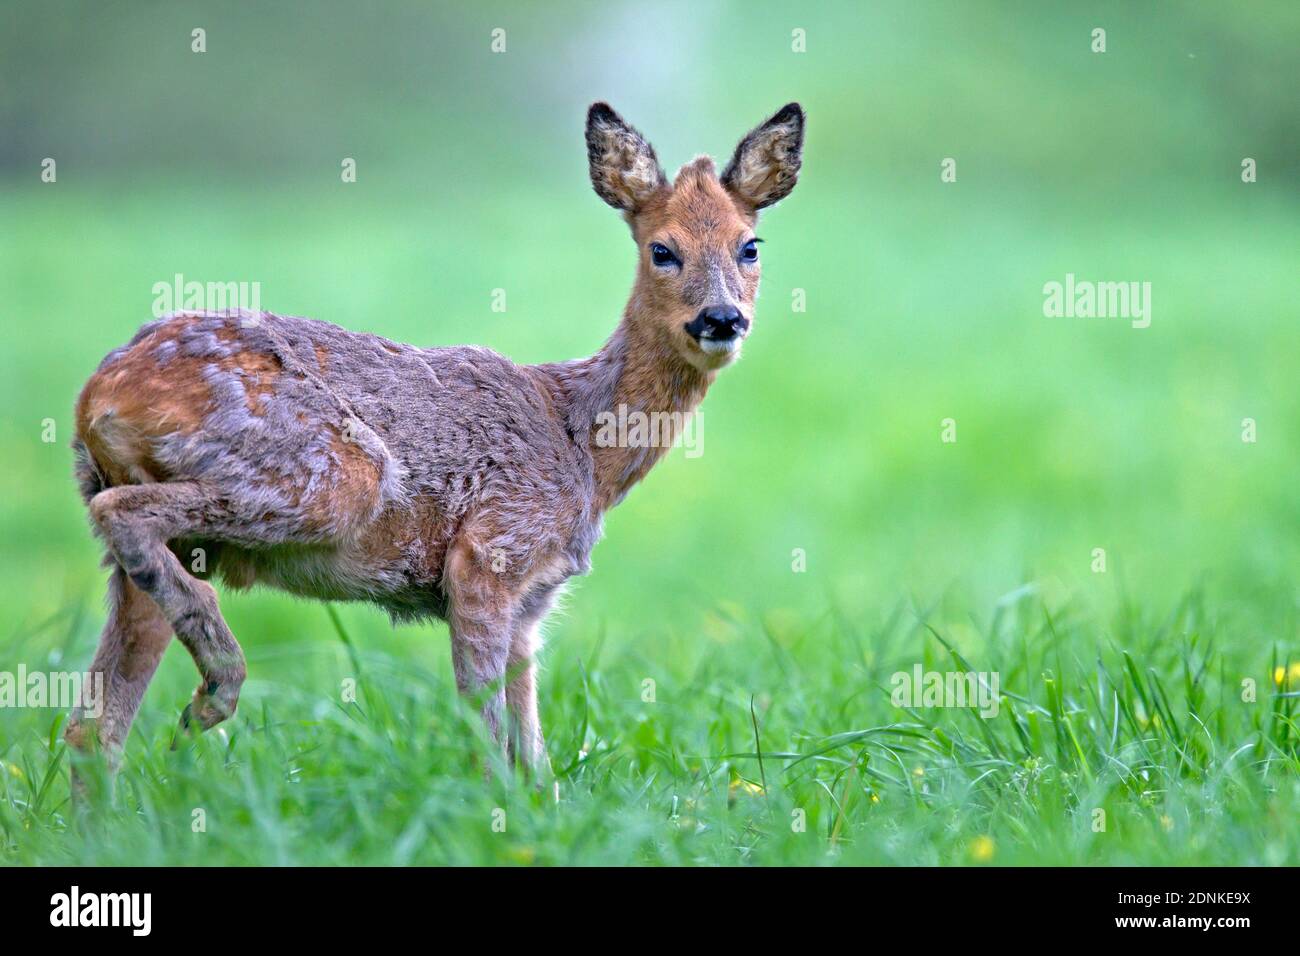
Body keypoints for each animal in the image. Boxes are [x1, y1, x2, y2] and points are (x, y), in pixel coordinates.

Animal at [64, 101, 805, 792]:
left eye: (751, 245)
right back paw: (215, 691)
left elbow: (535, 752)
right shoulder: (489, 553)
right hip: (324, 477)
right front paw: (493, 813)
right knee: (124, 521)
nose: (721, 318)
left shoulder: (532, 606)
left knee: (91, 724)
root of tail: (98, 392)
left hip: (161, 532)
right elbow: (487, 734)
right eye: (662, 249)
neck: (585, 446)